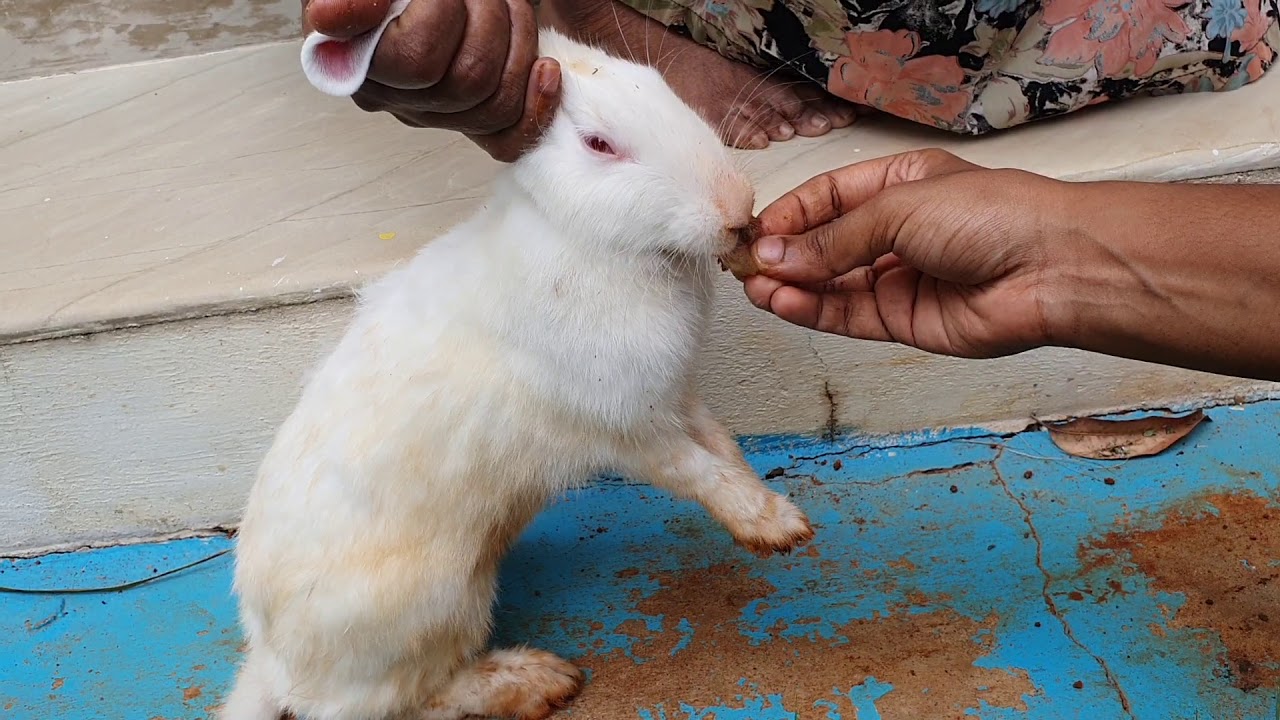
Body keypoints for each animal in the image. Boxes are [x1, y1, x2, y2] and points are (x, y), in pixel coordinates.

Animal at [222, 28, 814, 720]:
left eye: (657, 83)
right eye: (599, 144)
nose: (736, 206)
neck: (595, 244)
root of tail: (277, 667)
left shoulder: (676, 394)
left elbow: (724, 448)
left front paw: (776, 511)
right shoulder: (628, 426)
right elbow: (698, 472)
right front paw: (774, 529)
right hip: (435, 607)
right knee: (407, 701)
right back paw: (537, 680)